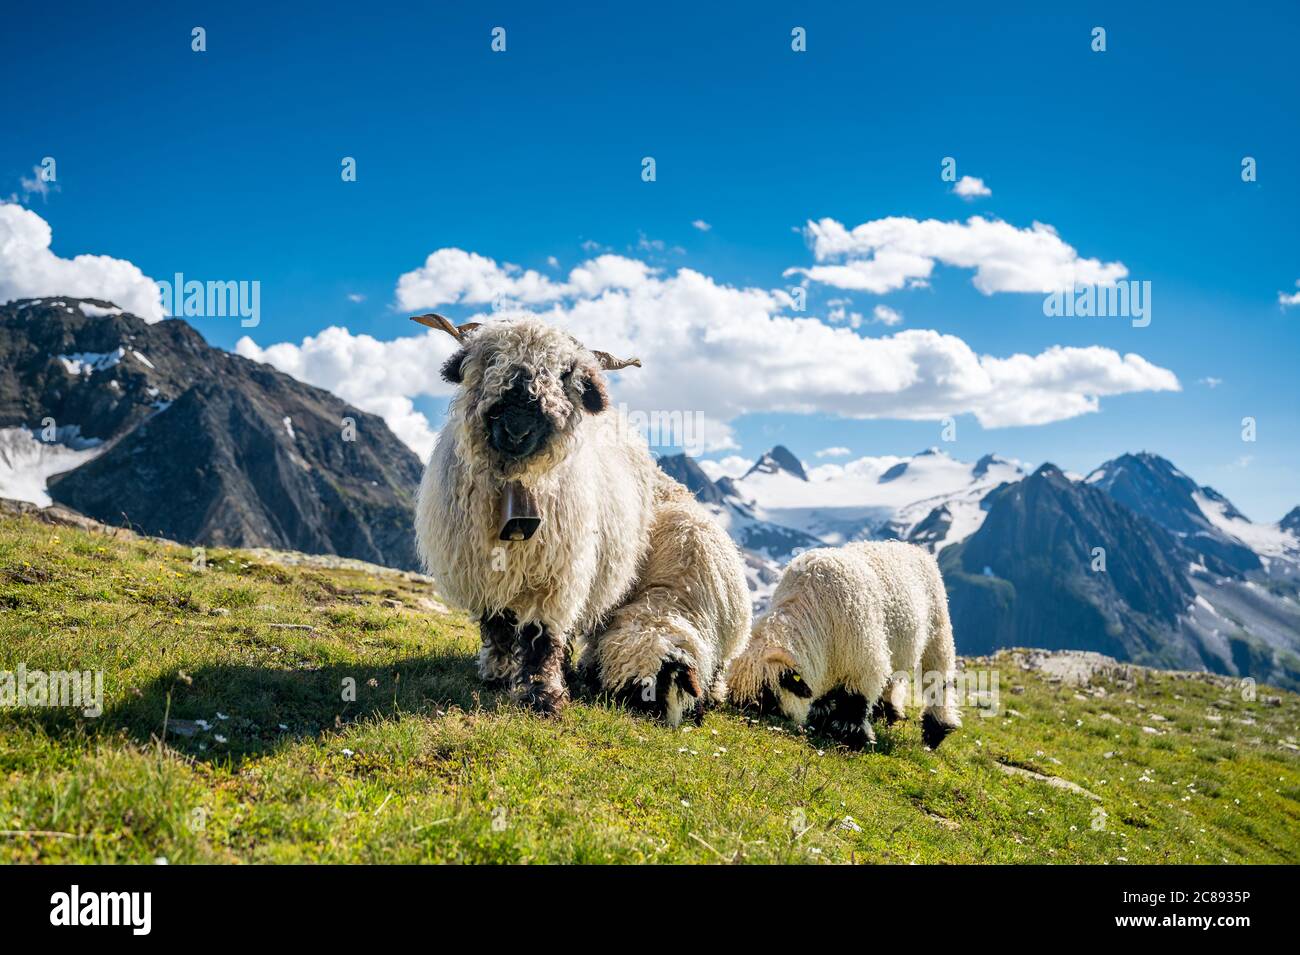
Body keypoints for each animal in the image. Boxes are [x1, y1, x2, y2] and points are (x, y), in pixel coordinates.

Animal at [413, 313, 751, 724]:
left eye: (565, 373)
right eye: (491, 359)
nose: (517, 427)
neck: (518, 483)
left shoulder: (555, 574)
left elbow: (542, 637)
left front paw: (543, 696)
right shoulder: (484, 573)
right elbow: (498, 626)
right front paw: (498, 673)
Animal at [727, 540, 962, 750]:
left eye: (768, 695)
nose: (745, 720)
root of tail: (911, 547)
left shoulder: (863, 661)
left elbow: (854, 703)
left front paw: (852, 739)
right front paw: (822, 724)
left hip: (938, 630)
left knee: (938, 680)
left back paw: (937, 729)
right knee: (893, 682)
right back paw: (887, 713)